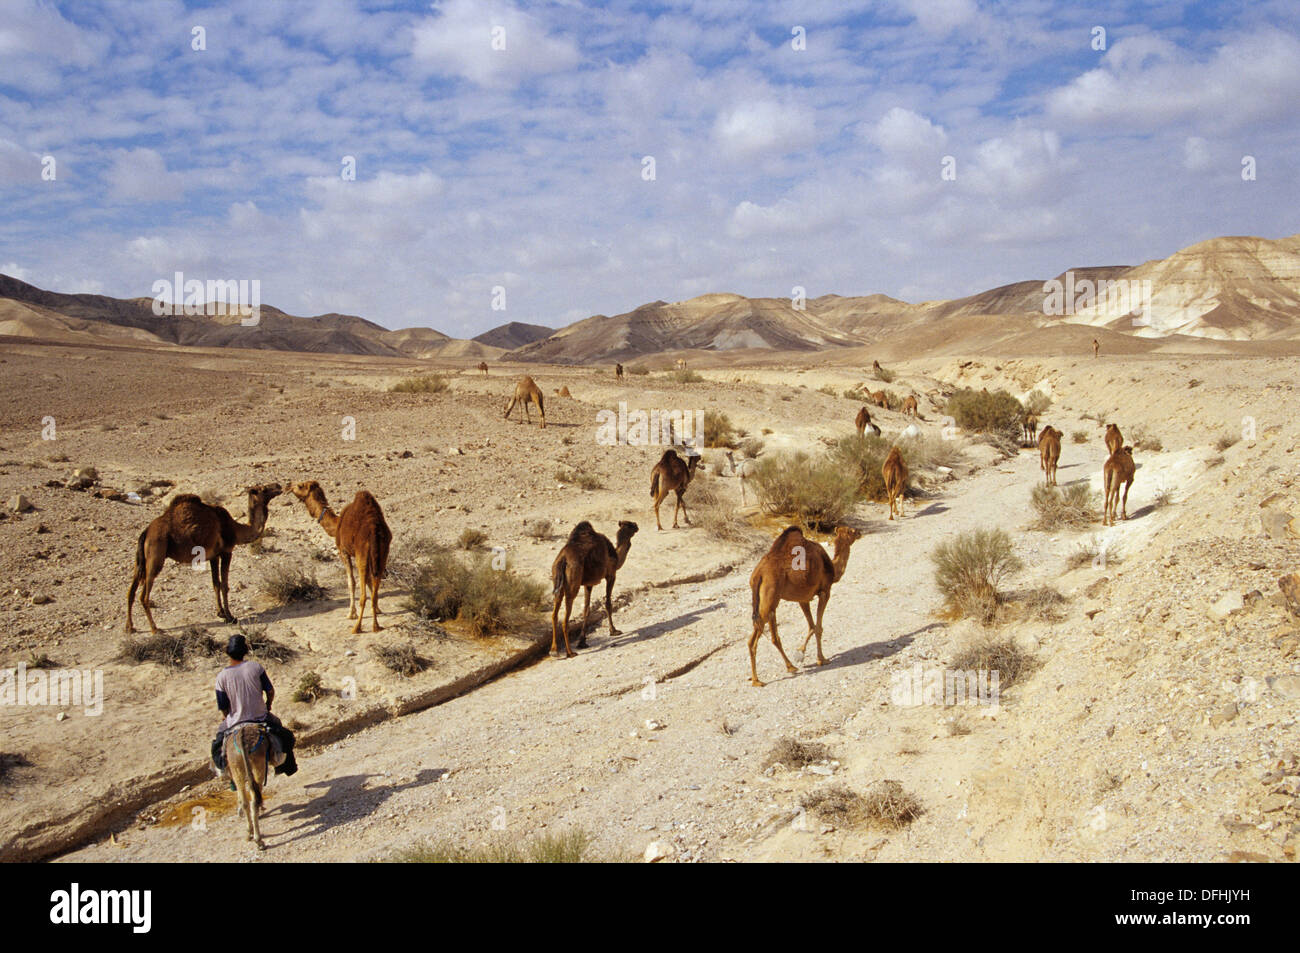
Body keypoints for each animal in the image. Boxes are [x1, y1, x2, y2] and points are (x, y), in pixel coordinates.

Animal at [125, 484, 282, 635]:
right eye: (264, 489)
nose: (278, 486)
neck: (237, 529)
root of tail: (146, 532)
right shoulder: (227, 551)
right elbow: (224, 585)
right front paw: (230, 617)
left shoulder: (214, 556)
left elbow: (215, 584)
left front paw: (221, 613)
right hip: (156, 553)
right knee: (143, 596)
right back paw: (155, 628)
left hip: (141, 560)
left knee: (131, 591)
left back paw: (130, 627)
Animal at [289, 480, 391, 634]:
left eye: (300, 486)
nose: (288, 486)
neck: (336, 523)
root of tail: (374, 532)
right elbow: (370, 584)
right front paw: (378, 610)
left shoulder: (344, 552)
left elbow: (351, 582)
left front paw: (351, 613)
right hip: (383, 554)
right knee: (374, 589)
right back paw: (376, 626)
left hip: (362, 554)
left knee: (362, 595)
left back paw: (357, 627)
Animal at [549, 520, 638, 657]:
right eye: (630, 524)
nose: (637, 525)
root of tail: (563, 560)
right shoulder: (611, 574)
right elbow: (608, 603)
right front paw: (614, 631)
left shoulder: (588, 584)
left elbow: (586, 610)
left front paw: (582, 641)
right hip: (573, 581)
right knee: (566, 617)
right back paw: (570, 652)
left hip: (557, 581)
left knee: (554, 614)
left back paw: (554, 651)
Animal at [746, 525, 860, 686]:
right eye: (852, 531)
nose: (859, 532)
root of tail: (758, 575)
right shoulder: (825, 592)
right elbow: (818, 627)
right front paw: (821, 659)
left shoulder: (803, 599)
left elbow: (811, 626)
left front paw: (801, 651)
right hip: (769, 599)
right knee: (753, 640)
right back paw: (757, 680)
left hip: (769, 603)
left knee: (773, 637)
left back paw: (790, 667)